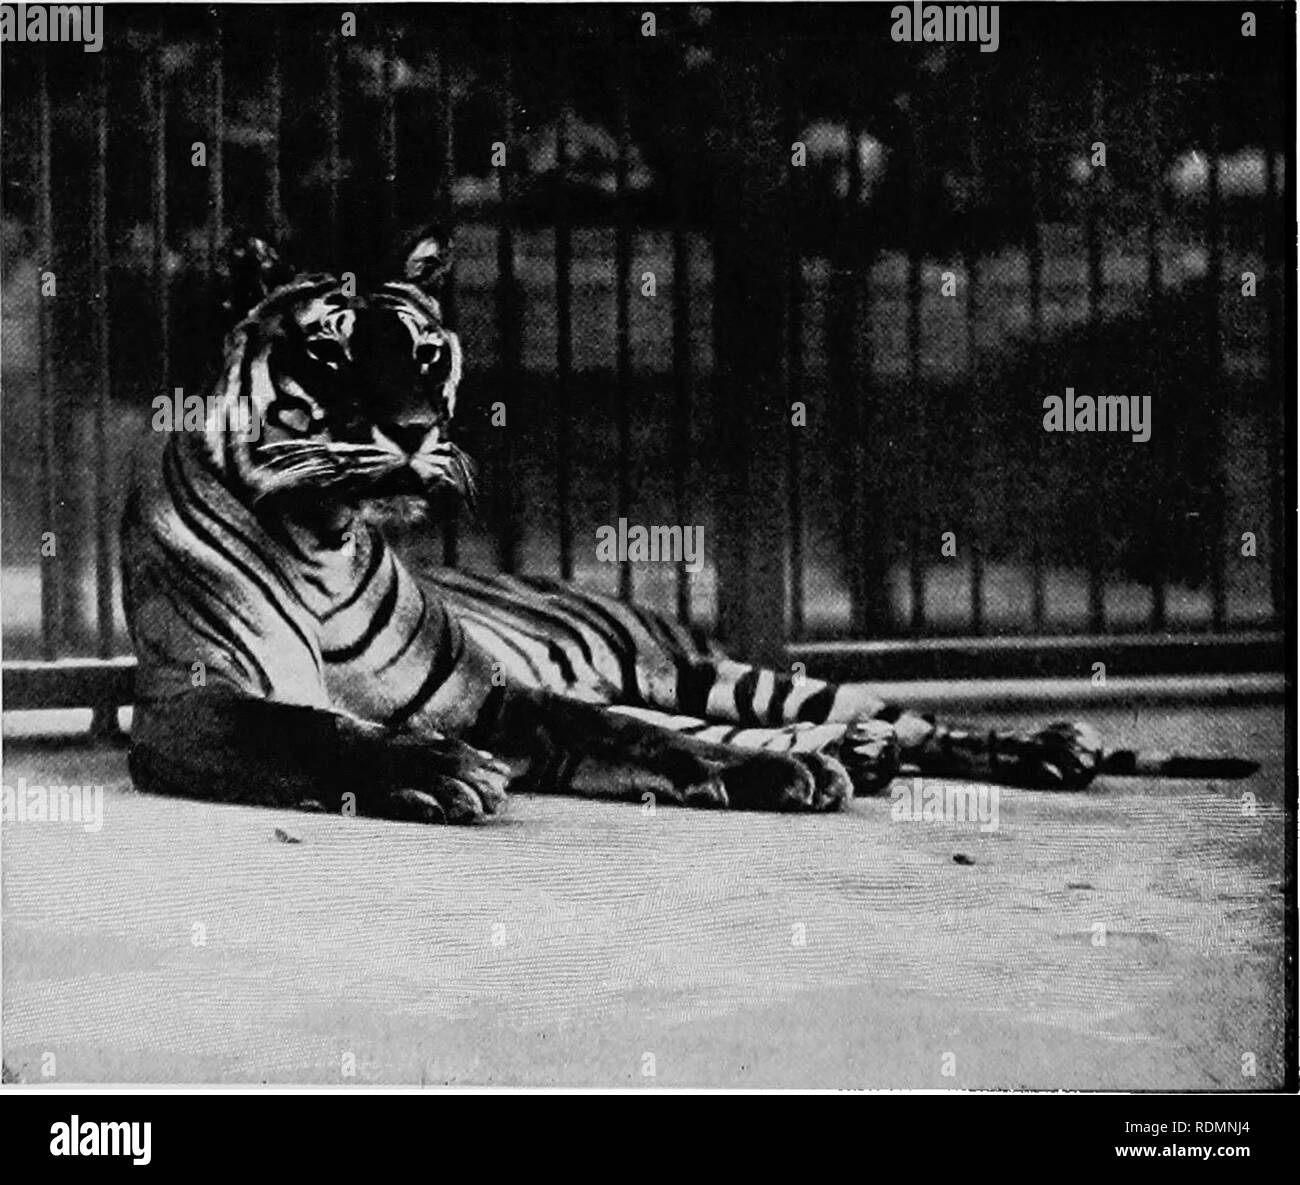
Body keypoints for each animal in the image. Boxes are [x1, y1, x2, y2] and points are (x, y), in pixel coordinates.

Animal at [120, 229, 1102, 825]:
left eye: (426, 353)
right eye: (330, 351)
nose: (414, 428)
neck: (324, 537)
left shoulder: (490, 697)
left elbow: (629, 733)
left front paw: (766, 777)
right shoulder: (191, 702)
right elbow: (313, 730)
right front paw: (437, 770)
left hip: (712, 671)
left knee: (892, 715)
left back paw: (1045, 747)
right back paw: (859, 759)